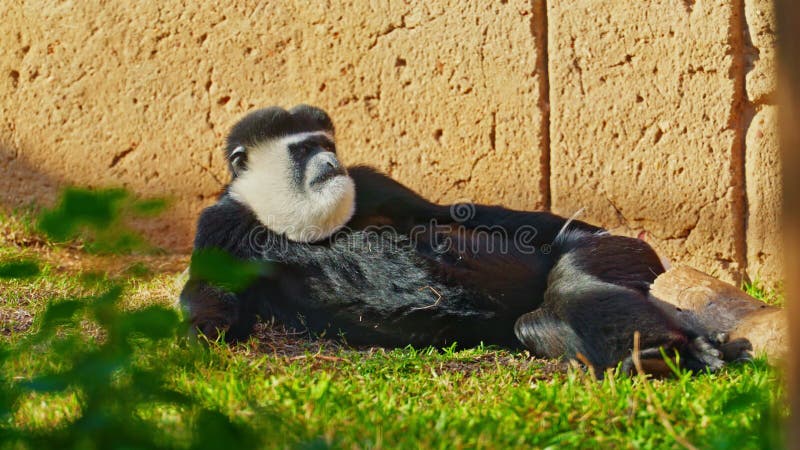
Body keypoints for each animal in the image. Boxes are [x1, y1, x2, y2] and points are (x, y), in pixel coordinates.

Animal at [180, 104, 730, 374]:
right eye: (303, 150)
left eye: (325, 144)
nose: (331, 162)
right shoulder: (222, 225)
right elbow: (209, 295)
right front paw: (198, 337)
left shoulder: (372, 183)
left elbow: (452, 214)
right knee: (539, 325)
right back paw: (663, 357)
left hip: (603, 259)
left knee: (579, 281)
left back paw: (675, 350)